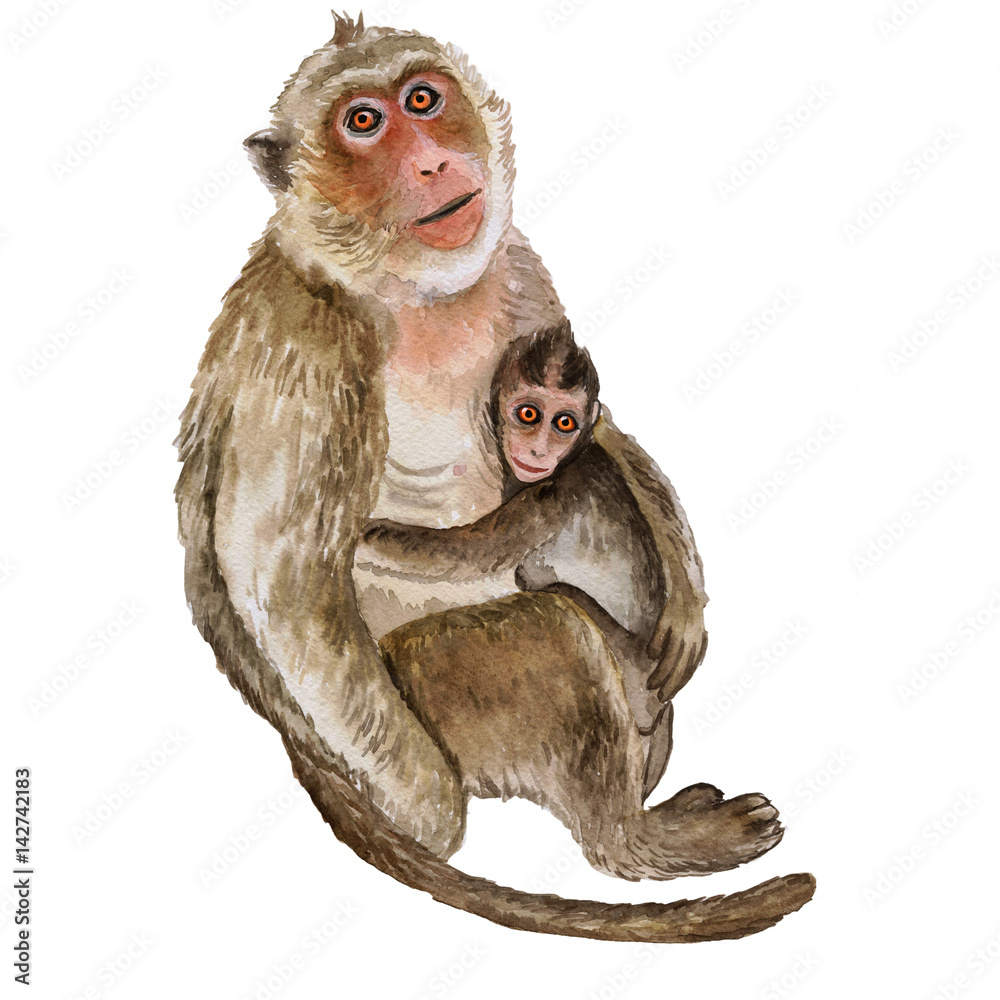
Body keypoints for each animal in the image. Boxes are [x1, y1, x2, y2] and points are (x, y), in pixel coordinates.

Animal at [359, 321, 677, 799]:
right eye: (528, 414)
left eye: (564, 423)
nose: (539, 451)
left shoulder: (553, 496)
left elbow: (465, 553)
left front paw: (362, 535)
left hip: (635, 683)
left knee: (554, 594)